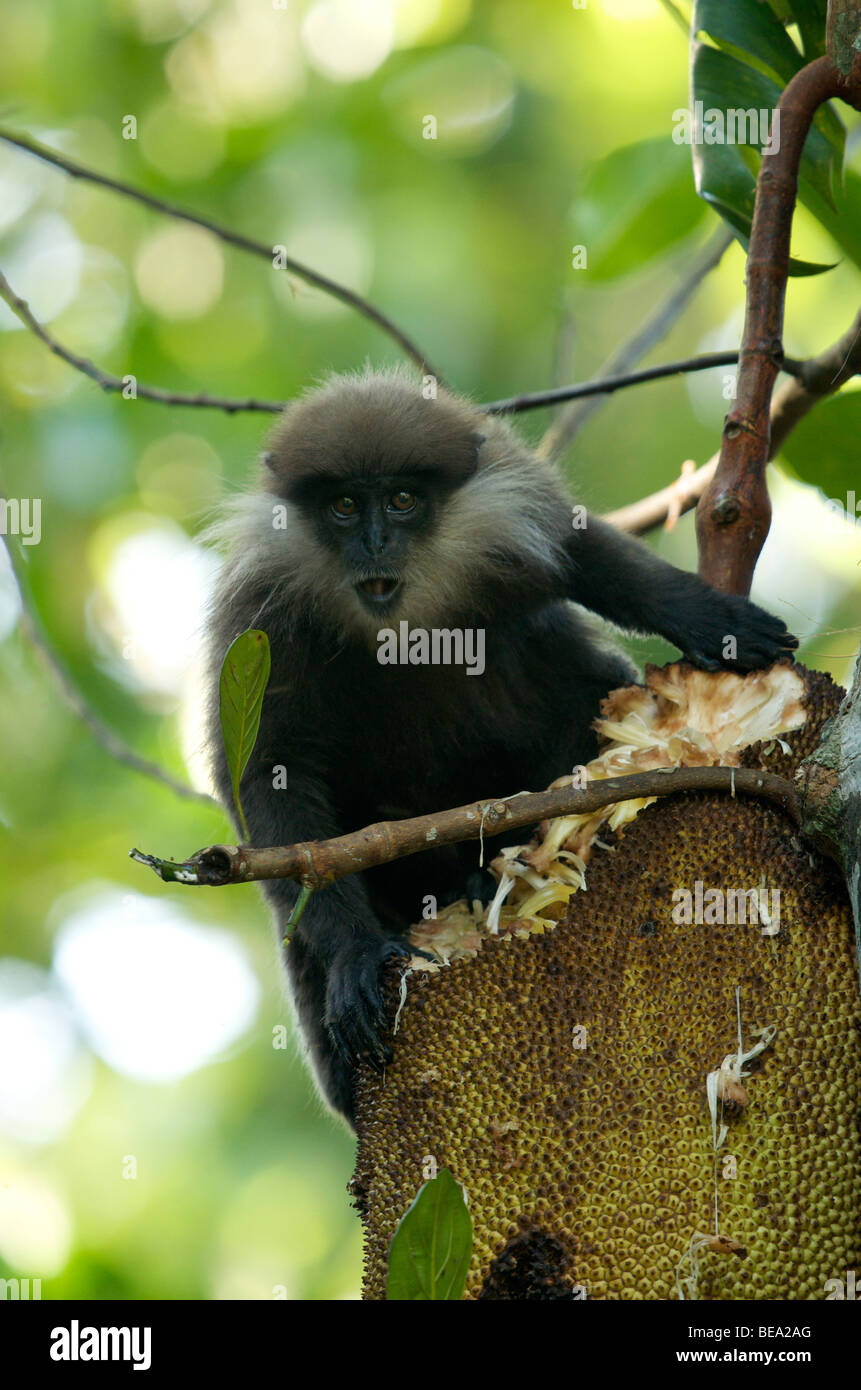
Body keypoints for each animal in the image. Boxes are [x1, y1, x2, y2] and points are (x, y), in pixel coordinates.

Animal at [204, 366, 797, 1126]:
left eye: (401, 500)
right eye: (343, 507)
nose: (374, 543)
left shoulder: (509, 511)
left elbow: (587, 556)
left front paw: (704, 616)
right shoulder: (260, 612)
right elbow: (269, 779)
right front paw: (356, 954)